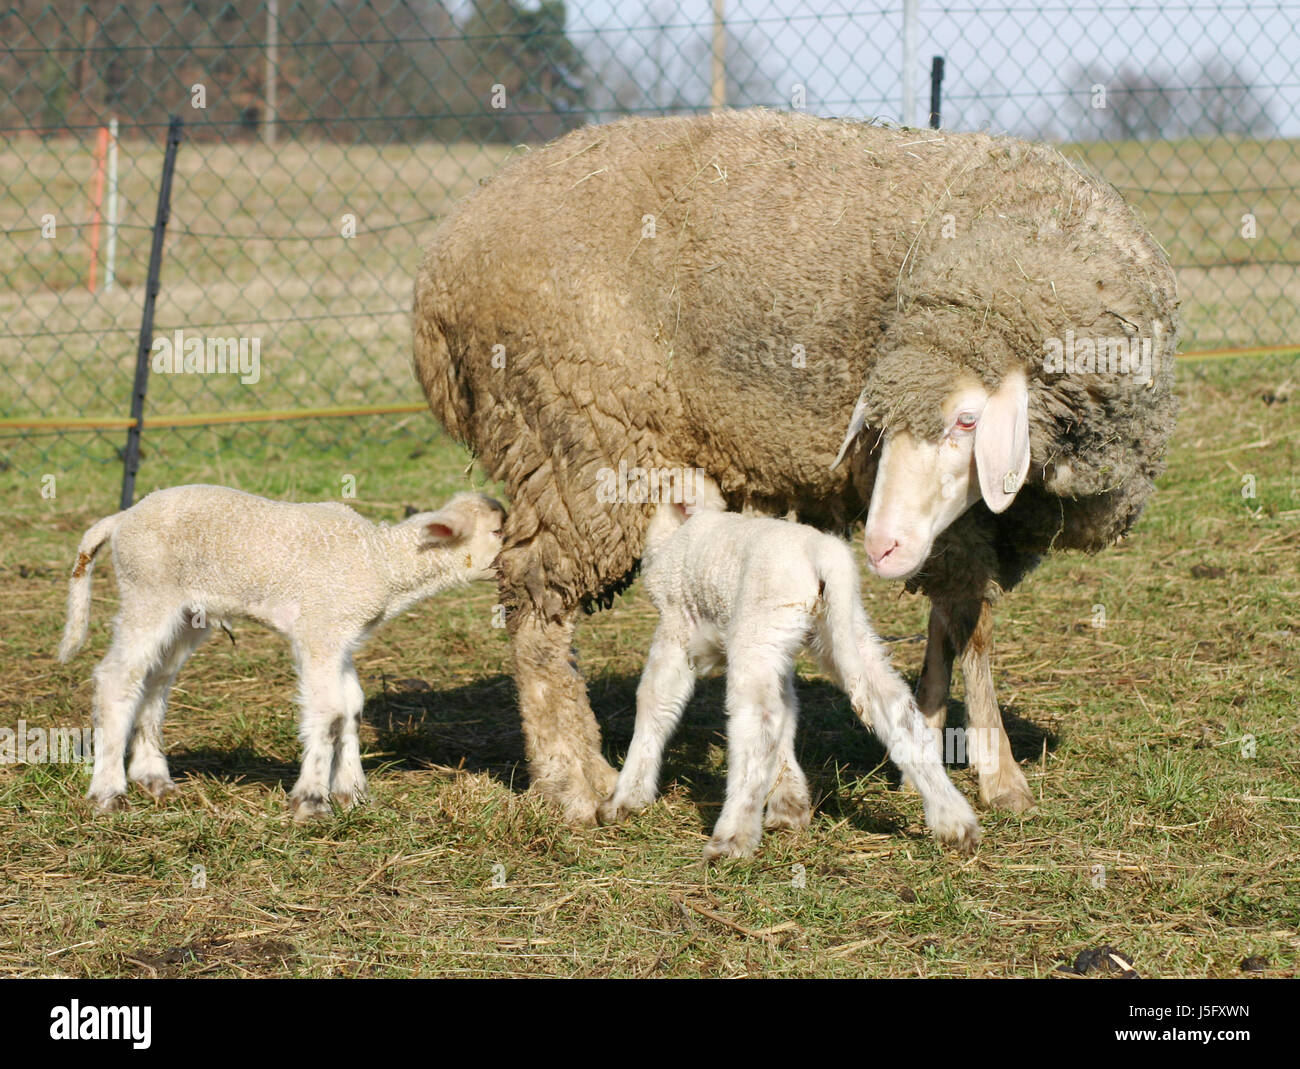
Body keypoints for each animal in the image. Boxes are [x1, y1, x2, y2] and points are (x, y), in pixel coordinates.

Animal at [58, 485, 505, 818]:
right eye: (499, 532)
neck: (381, 562)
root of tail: (121, 518)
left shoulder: (340, 636)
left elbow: (352, 707)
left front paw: (352, 791)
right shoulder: (319, 631)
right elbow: (328, 712)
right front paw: (312, 800)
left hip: (186, 614)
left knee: (154, 680)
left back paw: (155, 780)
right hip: (148, 590)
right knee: (117, 679)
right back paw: (108, 793)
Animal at [598, 488, 982, 858]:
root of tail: (824, 553)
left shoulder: (676, 626)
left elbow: (655, 701)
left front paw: (626, 798)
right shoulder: (778, 650)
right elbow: (789, 711)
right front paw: (790, 804)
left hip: (758, 630)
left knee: (757, 723)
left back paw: (731, 838)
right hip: (839, 629)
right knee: (892, 706)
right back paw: (955, 821)